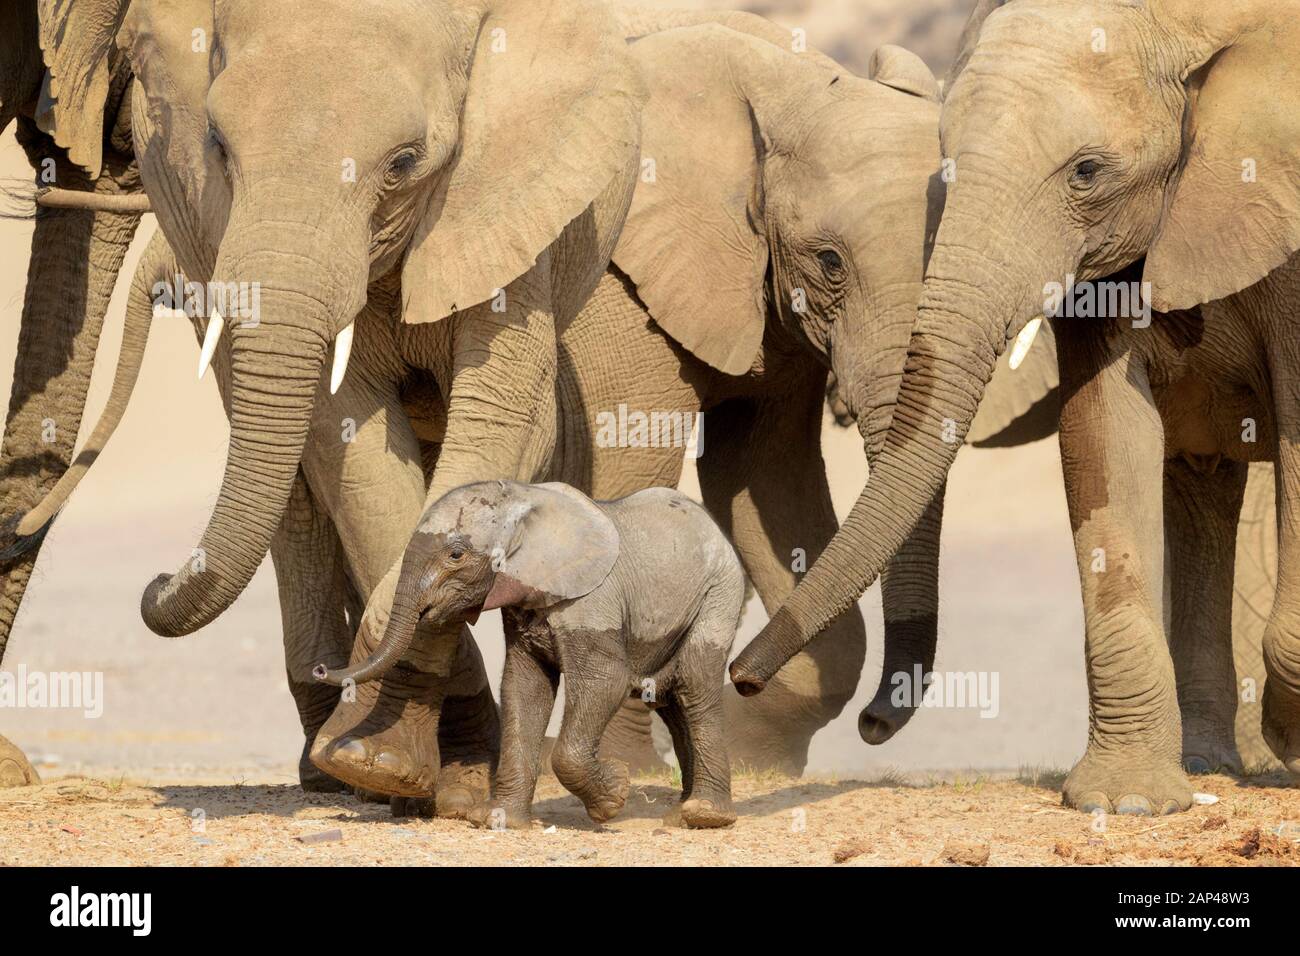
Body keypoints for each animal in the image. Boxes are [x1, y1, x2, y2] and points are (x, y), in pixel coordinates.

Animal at [319, 480, 744, 829]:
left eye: (456, 555)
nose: (321, 669)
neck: (523, 501)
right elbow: (524, 689)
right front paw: (498, 820)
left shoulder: (591, 600)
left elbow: (606, 680)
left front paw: (613, 797)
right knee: (669, 699)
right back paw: (680, 814)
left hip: (720, 591)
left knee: (694, 686)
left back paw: (706, 815)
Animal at [732, 0, 1300, 815]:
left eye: (1087, 171)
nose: (739, 677)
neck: (1184, 23)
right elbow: (1105, 434)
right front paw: (1122, 803)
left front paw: (1289, 739)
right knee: (1201, 485)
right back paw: (1207, 765)